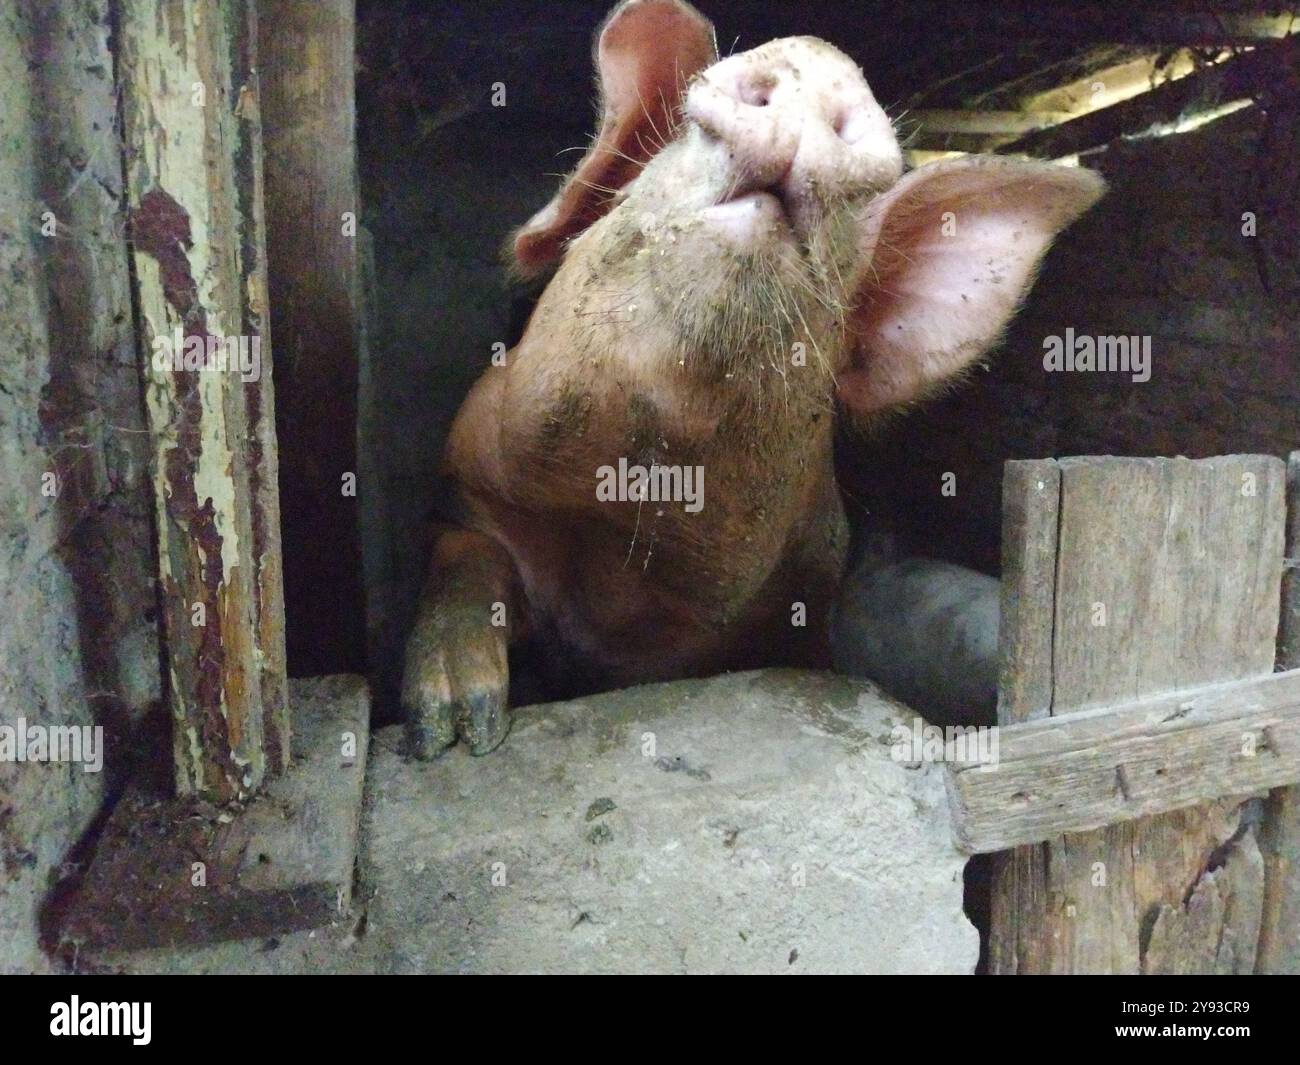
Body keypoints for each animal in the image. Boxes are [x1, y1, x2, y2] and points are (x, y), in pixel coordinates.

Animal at [402, 0, 1104, 756]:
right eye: (645, 173)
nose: (824, 61)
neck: (611, 546)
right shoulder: (463, 488)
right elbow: (465, 563)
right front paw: (453, 729)